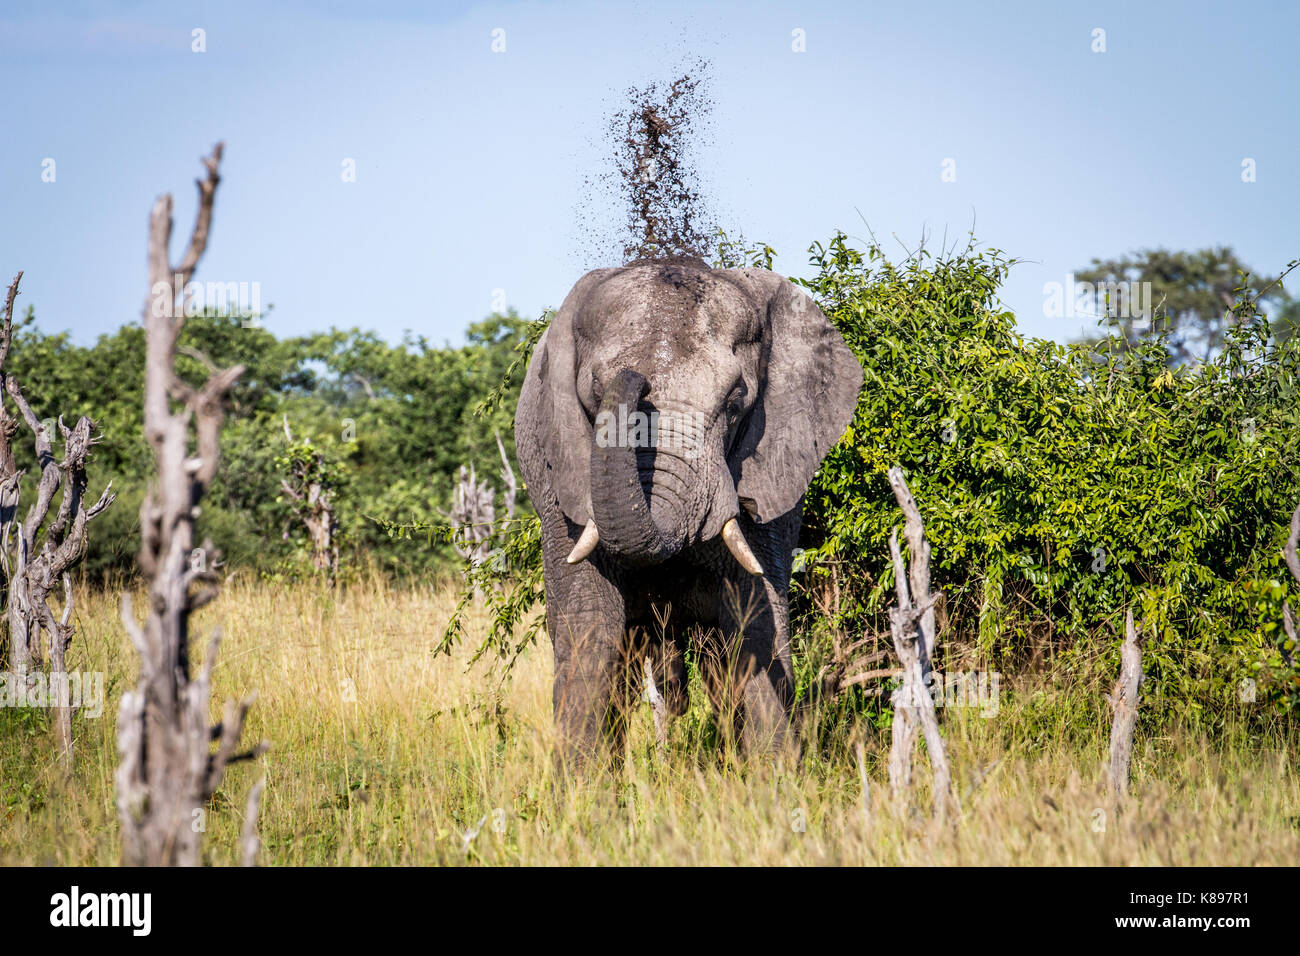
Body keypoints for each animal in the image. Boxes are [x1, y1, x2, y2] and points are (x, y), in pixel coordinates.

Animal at [514, 256, 862, 765]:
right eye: (594, 392)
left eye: (735, 400)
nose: (635, 378)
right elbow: (590, 626)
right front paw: (578, 786)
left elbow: (755, 619)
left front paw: (777, 780)